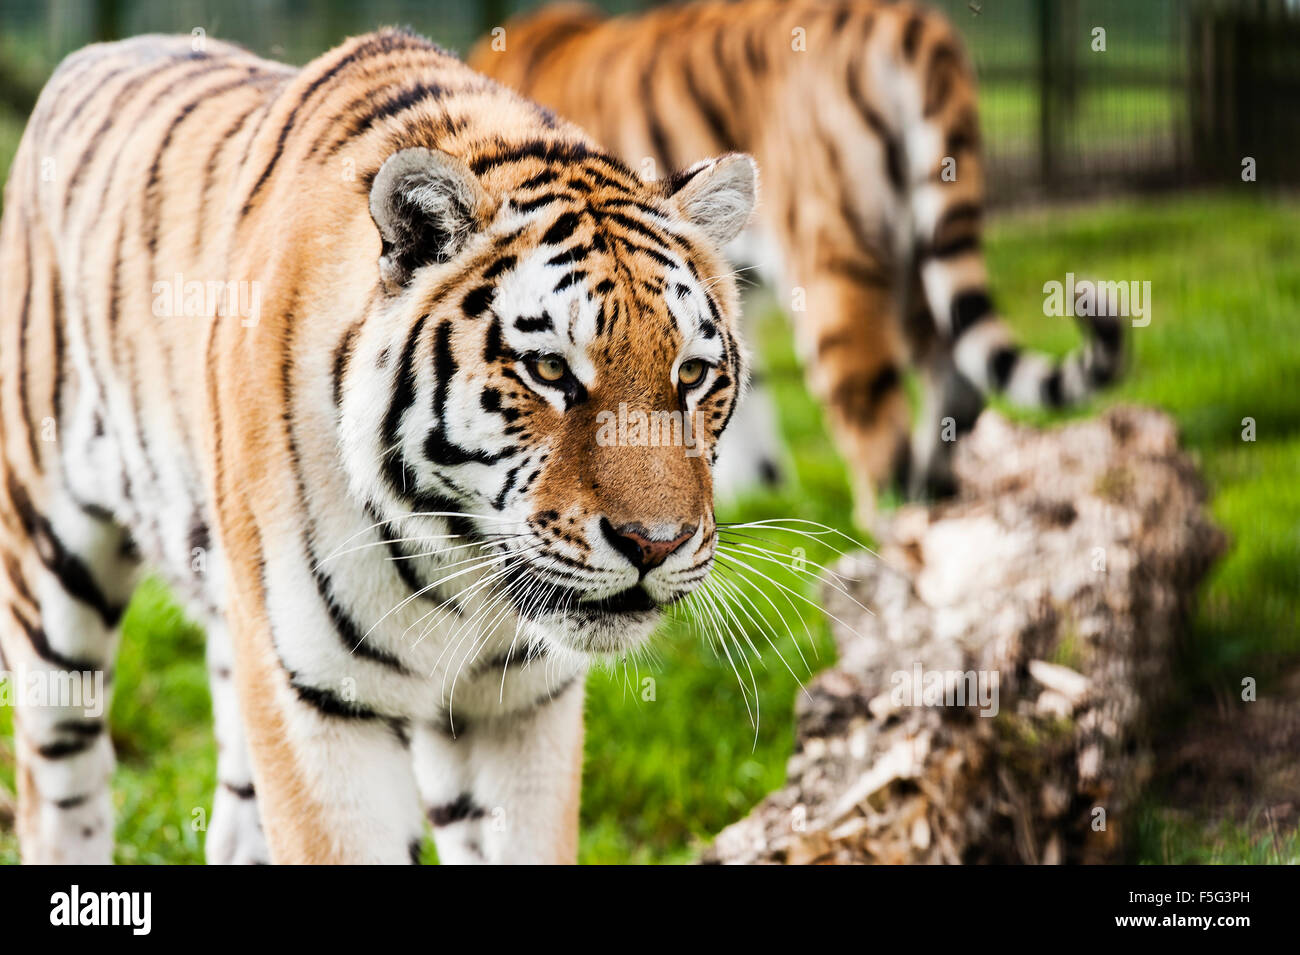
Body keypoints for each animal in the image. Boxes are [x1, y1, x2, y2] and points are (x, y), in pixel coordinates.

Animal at [0, 28, 757, 864]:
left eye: (691, 374)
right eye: (551, 370)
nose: (655, 544)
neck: (459, 562)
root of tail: (94, 51)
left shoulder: (520, 705)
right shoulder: (319, 700)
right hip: (51, 573)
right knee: (58, 779)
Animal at [469, 0, 1124, 527]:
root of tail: (910, 24)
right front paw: (754, 494)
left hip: (835, 259)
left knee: (876, 415)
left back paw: (885, 523)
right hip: (914, 256)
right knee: (956, 376)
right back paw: (934, 494)